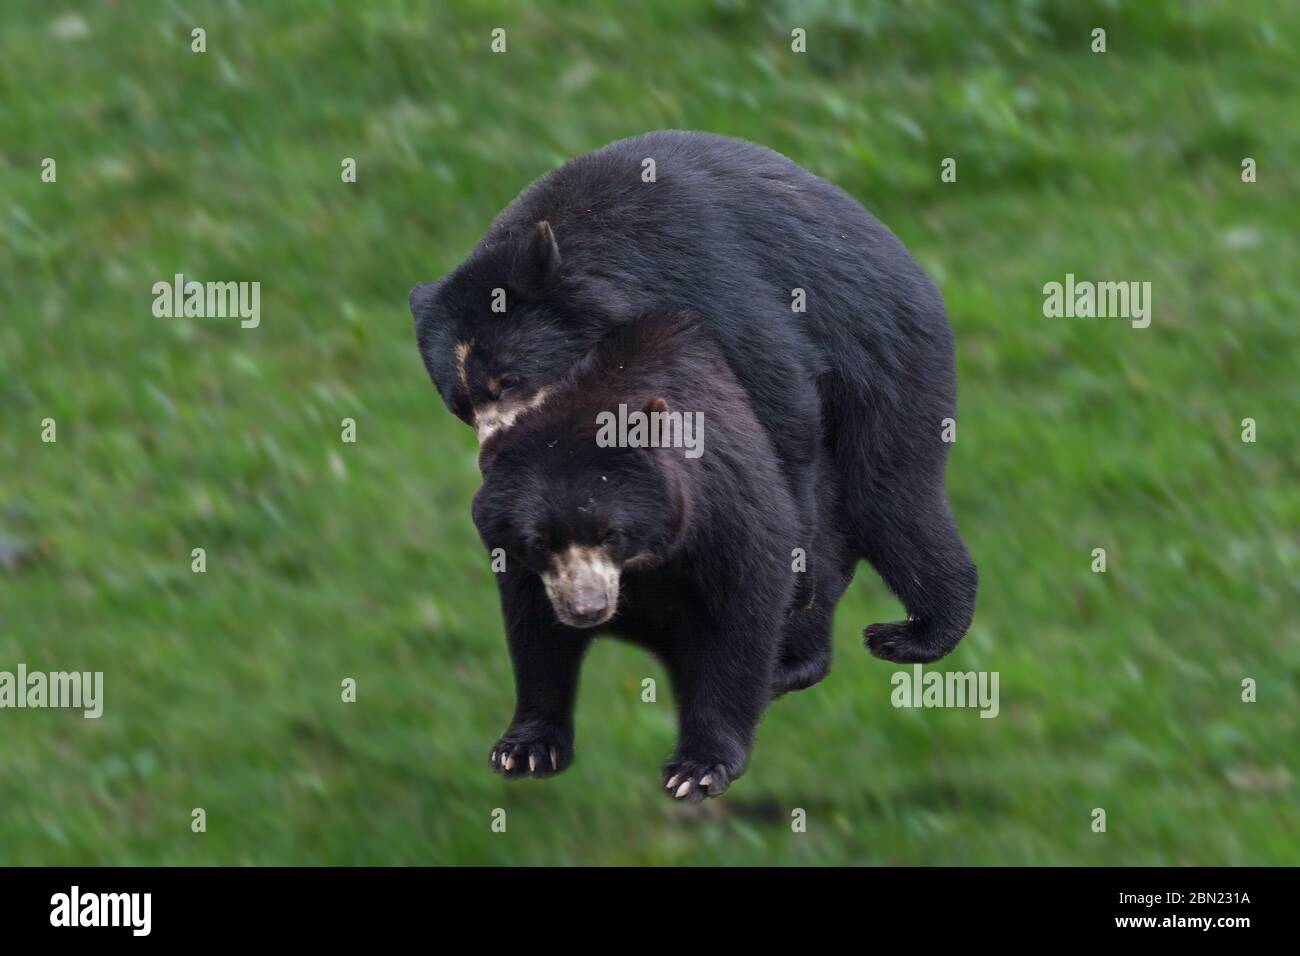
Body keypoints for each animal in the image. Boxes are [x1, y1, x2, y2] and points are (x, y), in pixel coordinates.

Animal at [411, 130, 977, 664]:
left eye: (509, 380)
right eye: (460, 408)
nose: (492, 457)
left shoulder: (705, 283)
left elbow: (781, 406)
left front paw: (788, 579)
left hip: (889, 356)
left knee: (888, 492)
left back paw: (913, 634)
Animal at [471, 311, 853, 798]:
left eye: (610, 533)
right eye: (538, 542)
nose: (587, 609)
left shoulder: (730, 510)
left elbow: (741, 619)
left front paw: (698, 770)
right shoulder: (526, 571)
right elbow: (536, 633)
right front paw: (524, 749)